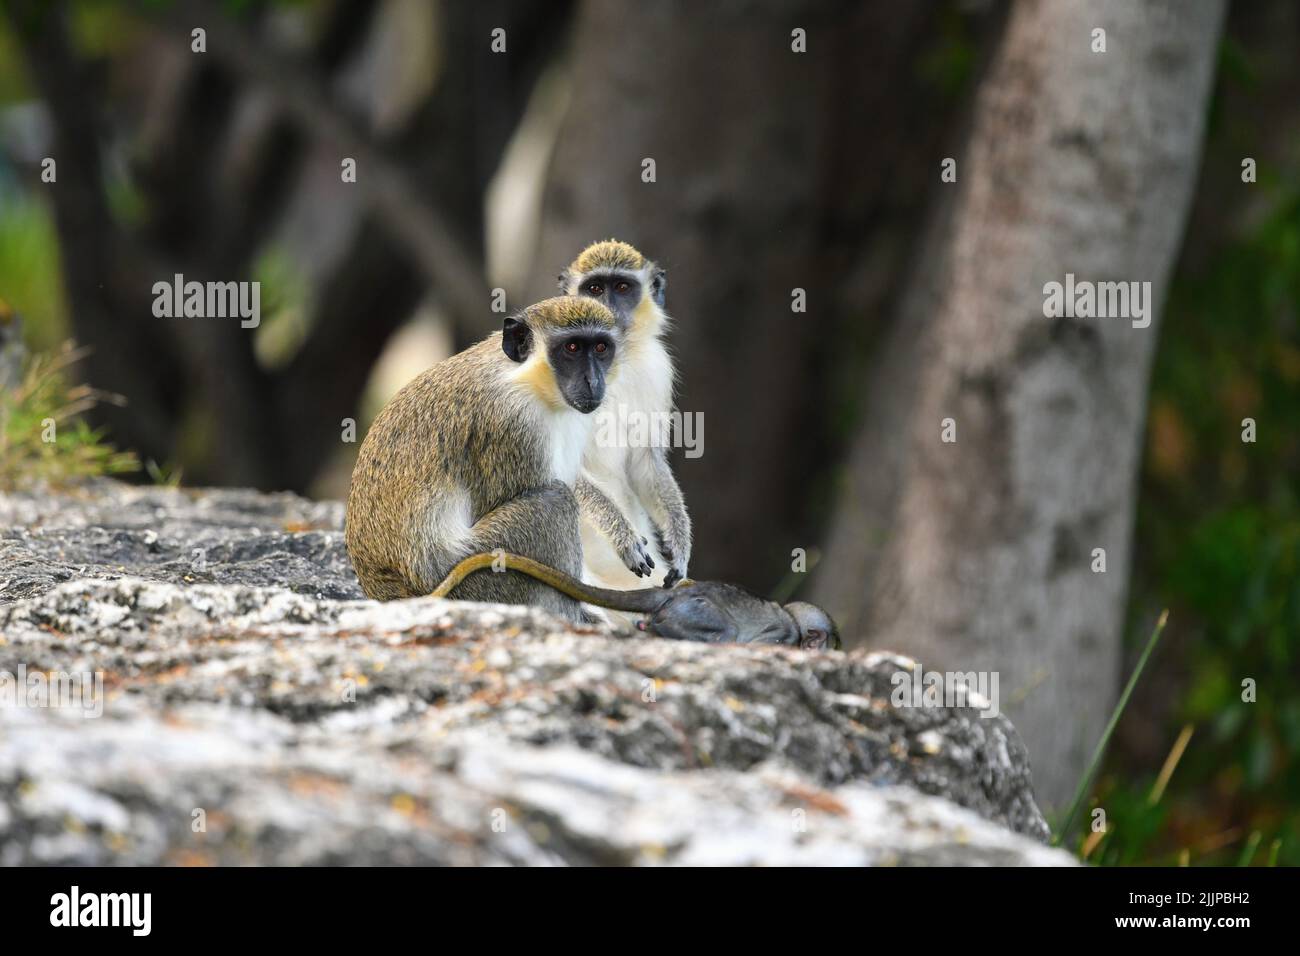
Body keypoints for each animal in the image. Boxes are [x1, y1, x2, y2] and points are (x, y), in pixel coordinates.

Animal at [345, 296, 622, 623]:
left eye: (601, 348)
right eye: (573, 348)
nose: (593, 381)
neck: (523, 378)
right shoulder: (512, 425)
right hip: (476, 579)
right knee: (554, 502)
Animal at [558, 240, 692, 592]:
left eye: (621, 287)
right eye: (594, 289)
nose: (605, 308)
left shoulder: (657, 368)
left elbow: (645, 457)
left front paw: (679, 543)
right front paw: (623, 537)